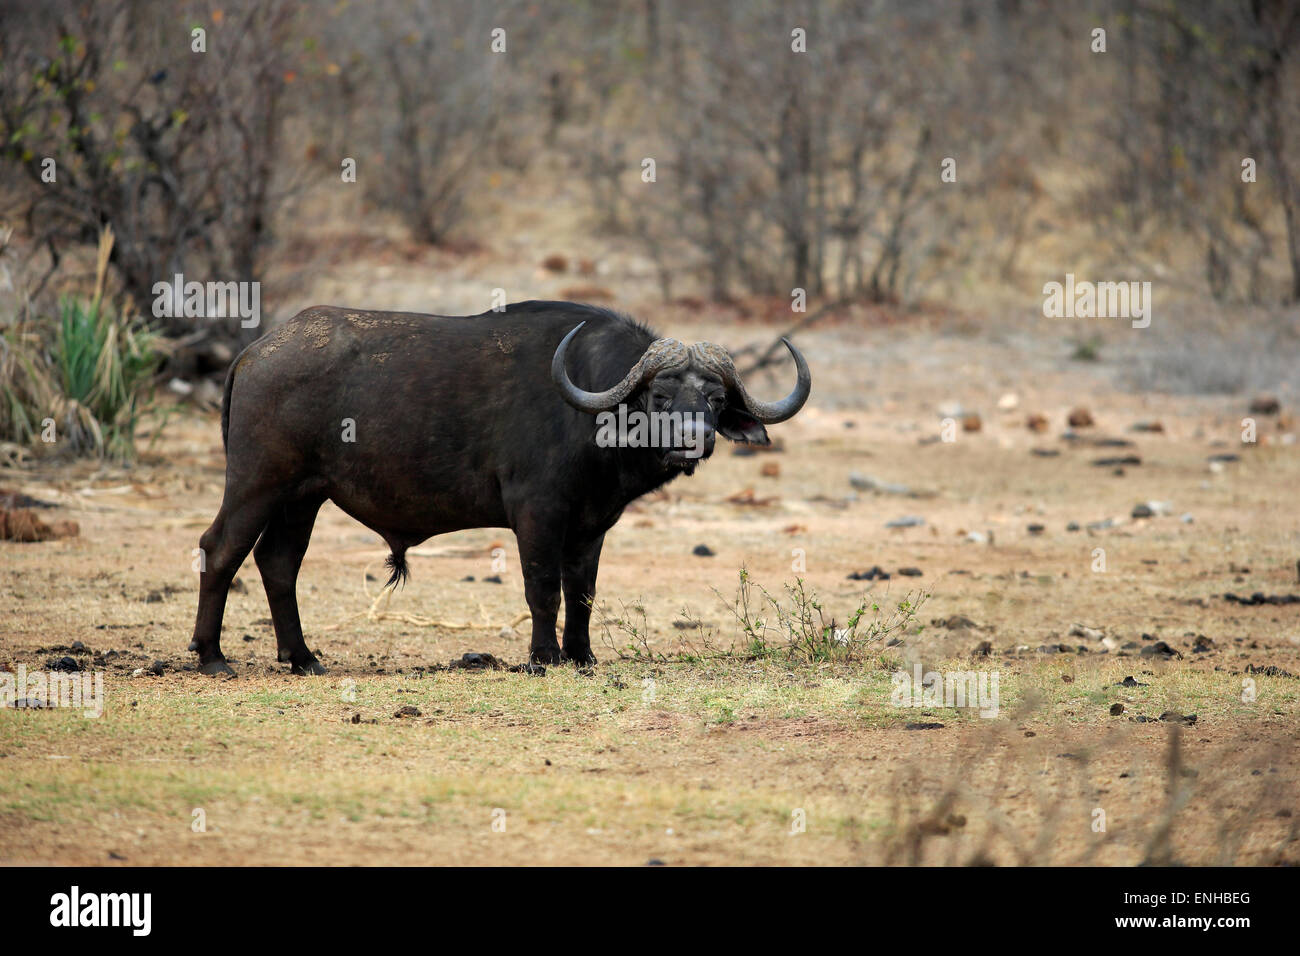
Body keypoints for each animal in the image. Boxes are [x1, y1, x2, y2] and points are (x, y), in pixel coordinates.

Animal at [189, 300, 811, 675]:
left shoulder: (591, 525)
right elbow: (542, 589)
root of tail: (255, 352)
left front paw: (581, 656)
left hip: (303, 496)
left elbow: (582, 592)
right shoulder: (536, 512)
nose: (691, 438)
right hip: (257, 482)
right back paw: (212, 655)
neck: (588, 408)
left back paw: (302, 657)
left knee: (278, 561)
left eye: (714, 398)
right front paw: (543, 657)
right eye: (660, 396)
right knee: (220, 549)